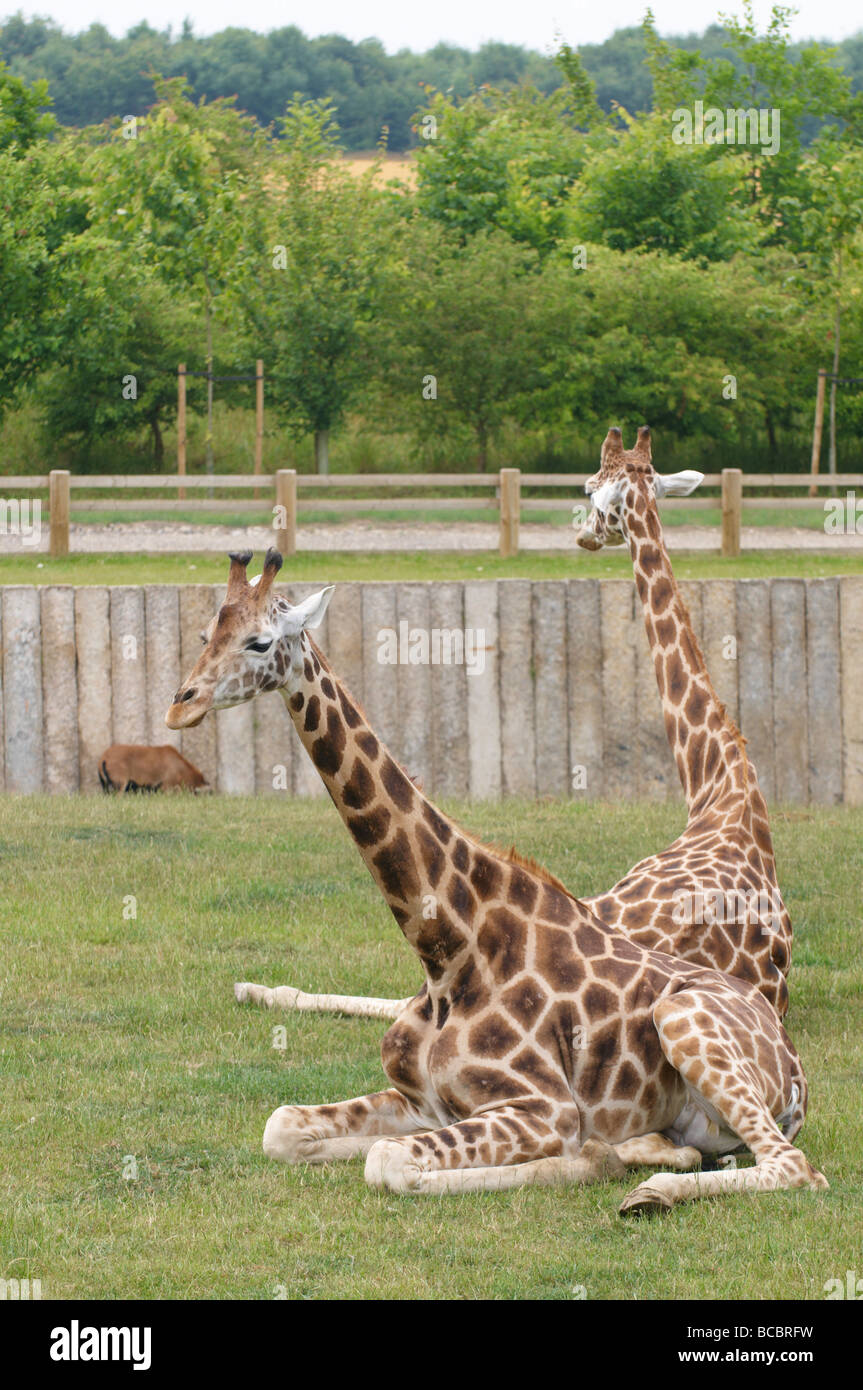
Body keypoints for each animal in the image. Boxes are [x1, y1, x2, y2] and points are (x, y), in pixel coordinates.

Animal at [163, 549, 826, 1209]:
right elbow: (282, 1126)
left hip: (683, 1020)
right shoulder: (420, 1101)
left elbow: (389, 1162)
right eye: (205, 634)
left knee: (796, 1168)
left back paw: (648, 1189)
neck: (447, 949)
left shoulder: (543, 1108)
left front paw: (589, 1157)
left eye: (259, 641)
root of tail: (794, 1066)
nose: (180, 705)